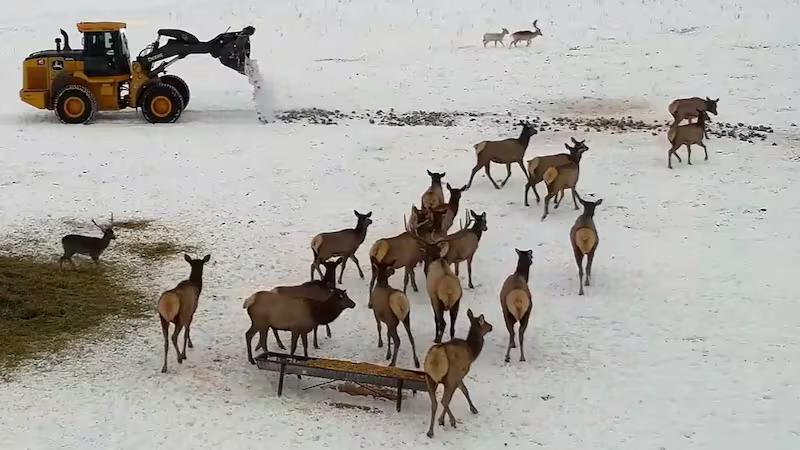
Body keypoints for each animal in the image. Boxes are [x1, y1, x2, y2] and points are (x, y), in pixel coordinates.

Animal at [423, 309, 493, 438]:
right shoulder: (459, 374)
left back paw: (430, 431)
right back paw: (452, 421)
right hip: (449, 376)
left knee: (434, 403)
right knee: (443, 400)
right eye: (484, 321)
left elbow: (463, 391)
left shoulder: (456, 378)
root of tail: (436, 357)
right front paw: (473, 409)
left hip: (429, 378)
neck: (472, 352)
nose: (491, 326)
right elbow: (461, 392)